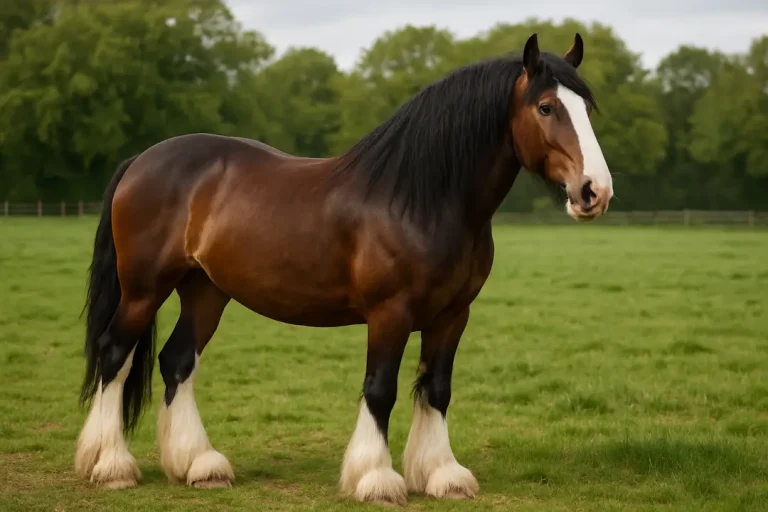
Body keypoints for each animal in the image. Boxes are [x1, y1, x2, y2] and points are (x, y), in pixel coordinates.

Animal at [74, 32, 613, 506]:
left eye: (586, 108)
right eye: (546, 108)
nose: (594, 191)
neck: (422, 200)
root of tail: (142, 159)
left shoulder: (452, 315)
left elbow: (436, 389)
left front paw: (443, 475)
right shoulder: (390, 313)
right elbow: (380, 389)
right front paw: (376, 478)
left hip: (205, 290)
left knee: (177, 361)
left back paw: (198, 465)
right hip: (144, 289)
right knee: (115, 355)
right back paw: (111, 465)